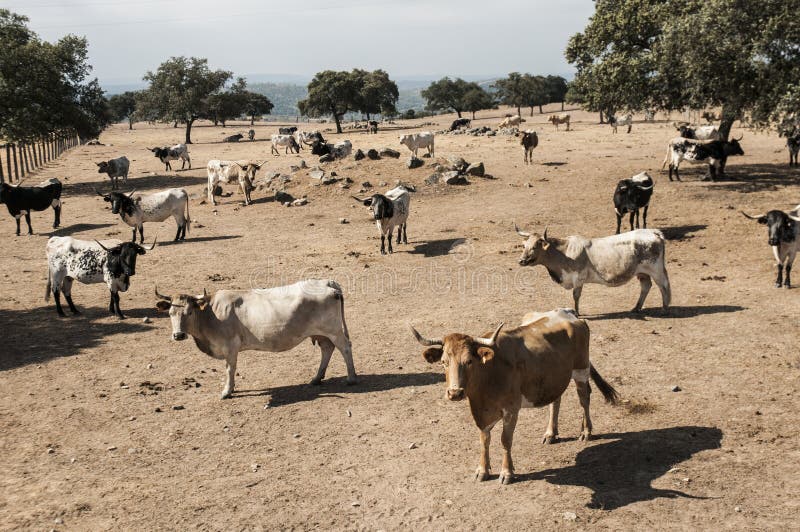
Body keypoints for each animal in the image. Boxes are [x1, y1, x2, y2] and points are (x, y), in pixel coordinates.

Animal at [154, 279, 357, 399]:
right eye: (170, 313)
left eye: (189, 312)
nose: (178, 335)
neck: (211, 313)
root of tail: (327, 282)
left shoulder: (230, 346)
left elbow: (230, 369)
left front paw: (227, 391)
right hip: (322, 333)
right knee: (327, 349)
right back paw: (316, 378)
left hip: (333, 330)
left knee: (345, 347)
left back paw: (351, 378)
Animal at [410, 315, 618, 484]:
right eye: (444, 362)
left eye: (469, 361)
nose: (455, 393)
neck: (489, 374)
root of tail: (572, 315)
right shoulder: (481, 412)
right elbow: (484, 439)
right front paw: (482, 470)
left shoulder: (511, 409)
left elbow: (505, 440)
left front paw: (506, 473)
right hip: (554, 378)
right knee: (556, 401)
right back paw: (550, 433)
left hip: (581, 369)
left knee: (584, 398)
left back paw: (586, 431)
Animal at [514, 225, 671, 315]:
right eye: (524, 246)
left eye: (535, 246)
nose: (521, 261)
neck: (564, 252)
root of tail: (654, 232)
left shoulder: (578, 278)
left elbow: (576, 295)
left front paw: (577, 313)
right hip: (642, 272)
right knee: (646, 286)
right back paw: (636, 308)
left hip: (656, 270)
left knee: (663, 286)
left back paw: (664, 309)